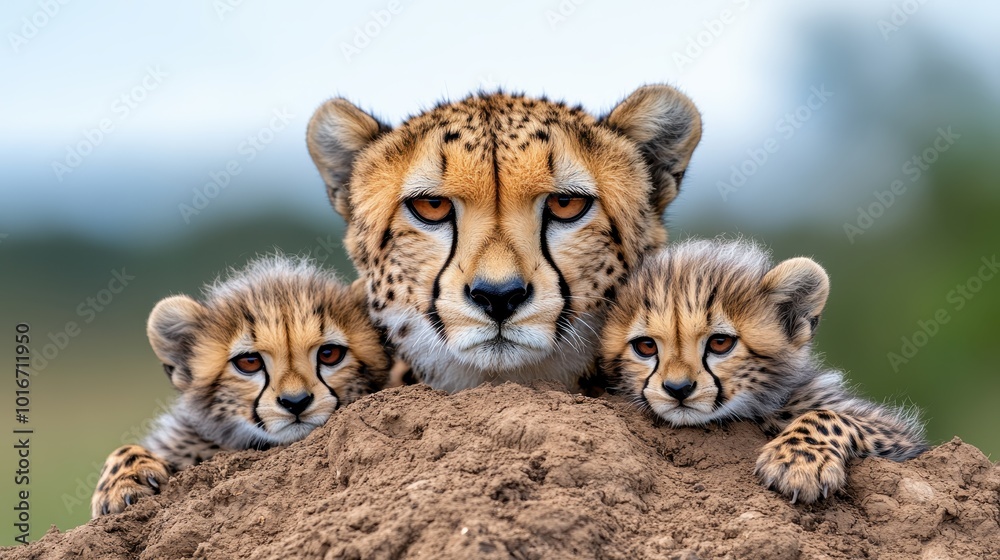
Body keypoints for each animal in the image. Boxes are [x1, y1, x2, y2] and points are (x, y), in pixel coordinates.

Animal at [600, 238, 927, 503]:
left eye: (720, 343)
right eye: (646, 347)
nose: (678, 389)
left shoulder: (901, 436)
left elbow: (827, 415)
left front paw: (798, 462)